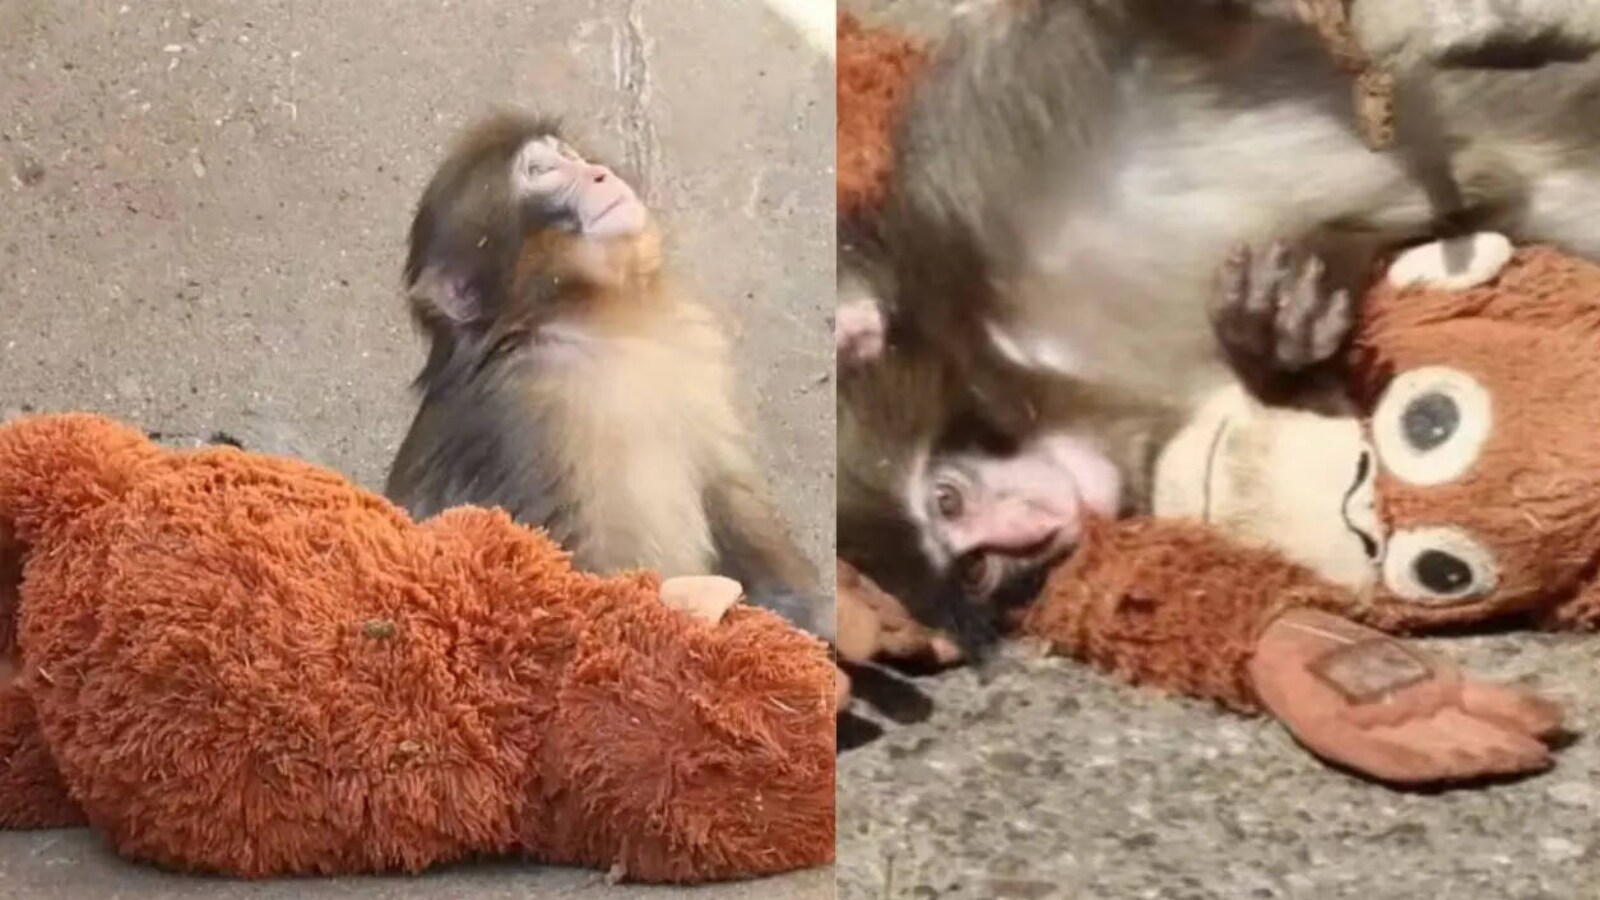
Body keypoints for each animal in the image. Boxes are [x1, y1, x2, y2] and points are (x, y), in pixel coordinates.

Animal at [384, 113, 826, 636]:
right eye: (541, 171)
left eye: (568, 156)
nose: (598, 173)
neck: (594, 322)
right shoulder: (528, 416)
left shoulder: (691, 348)